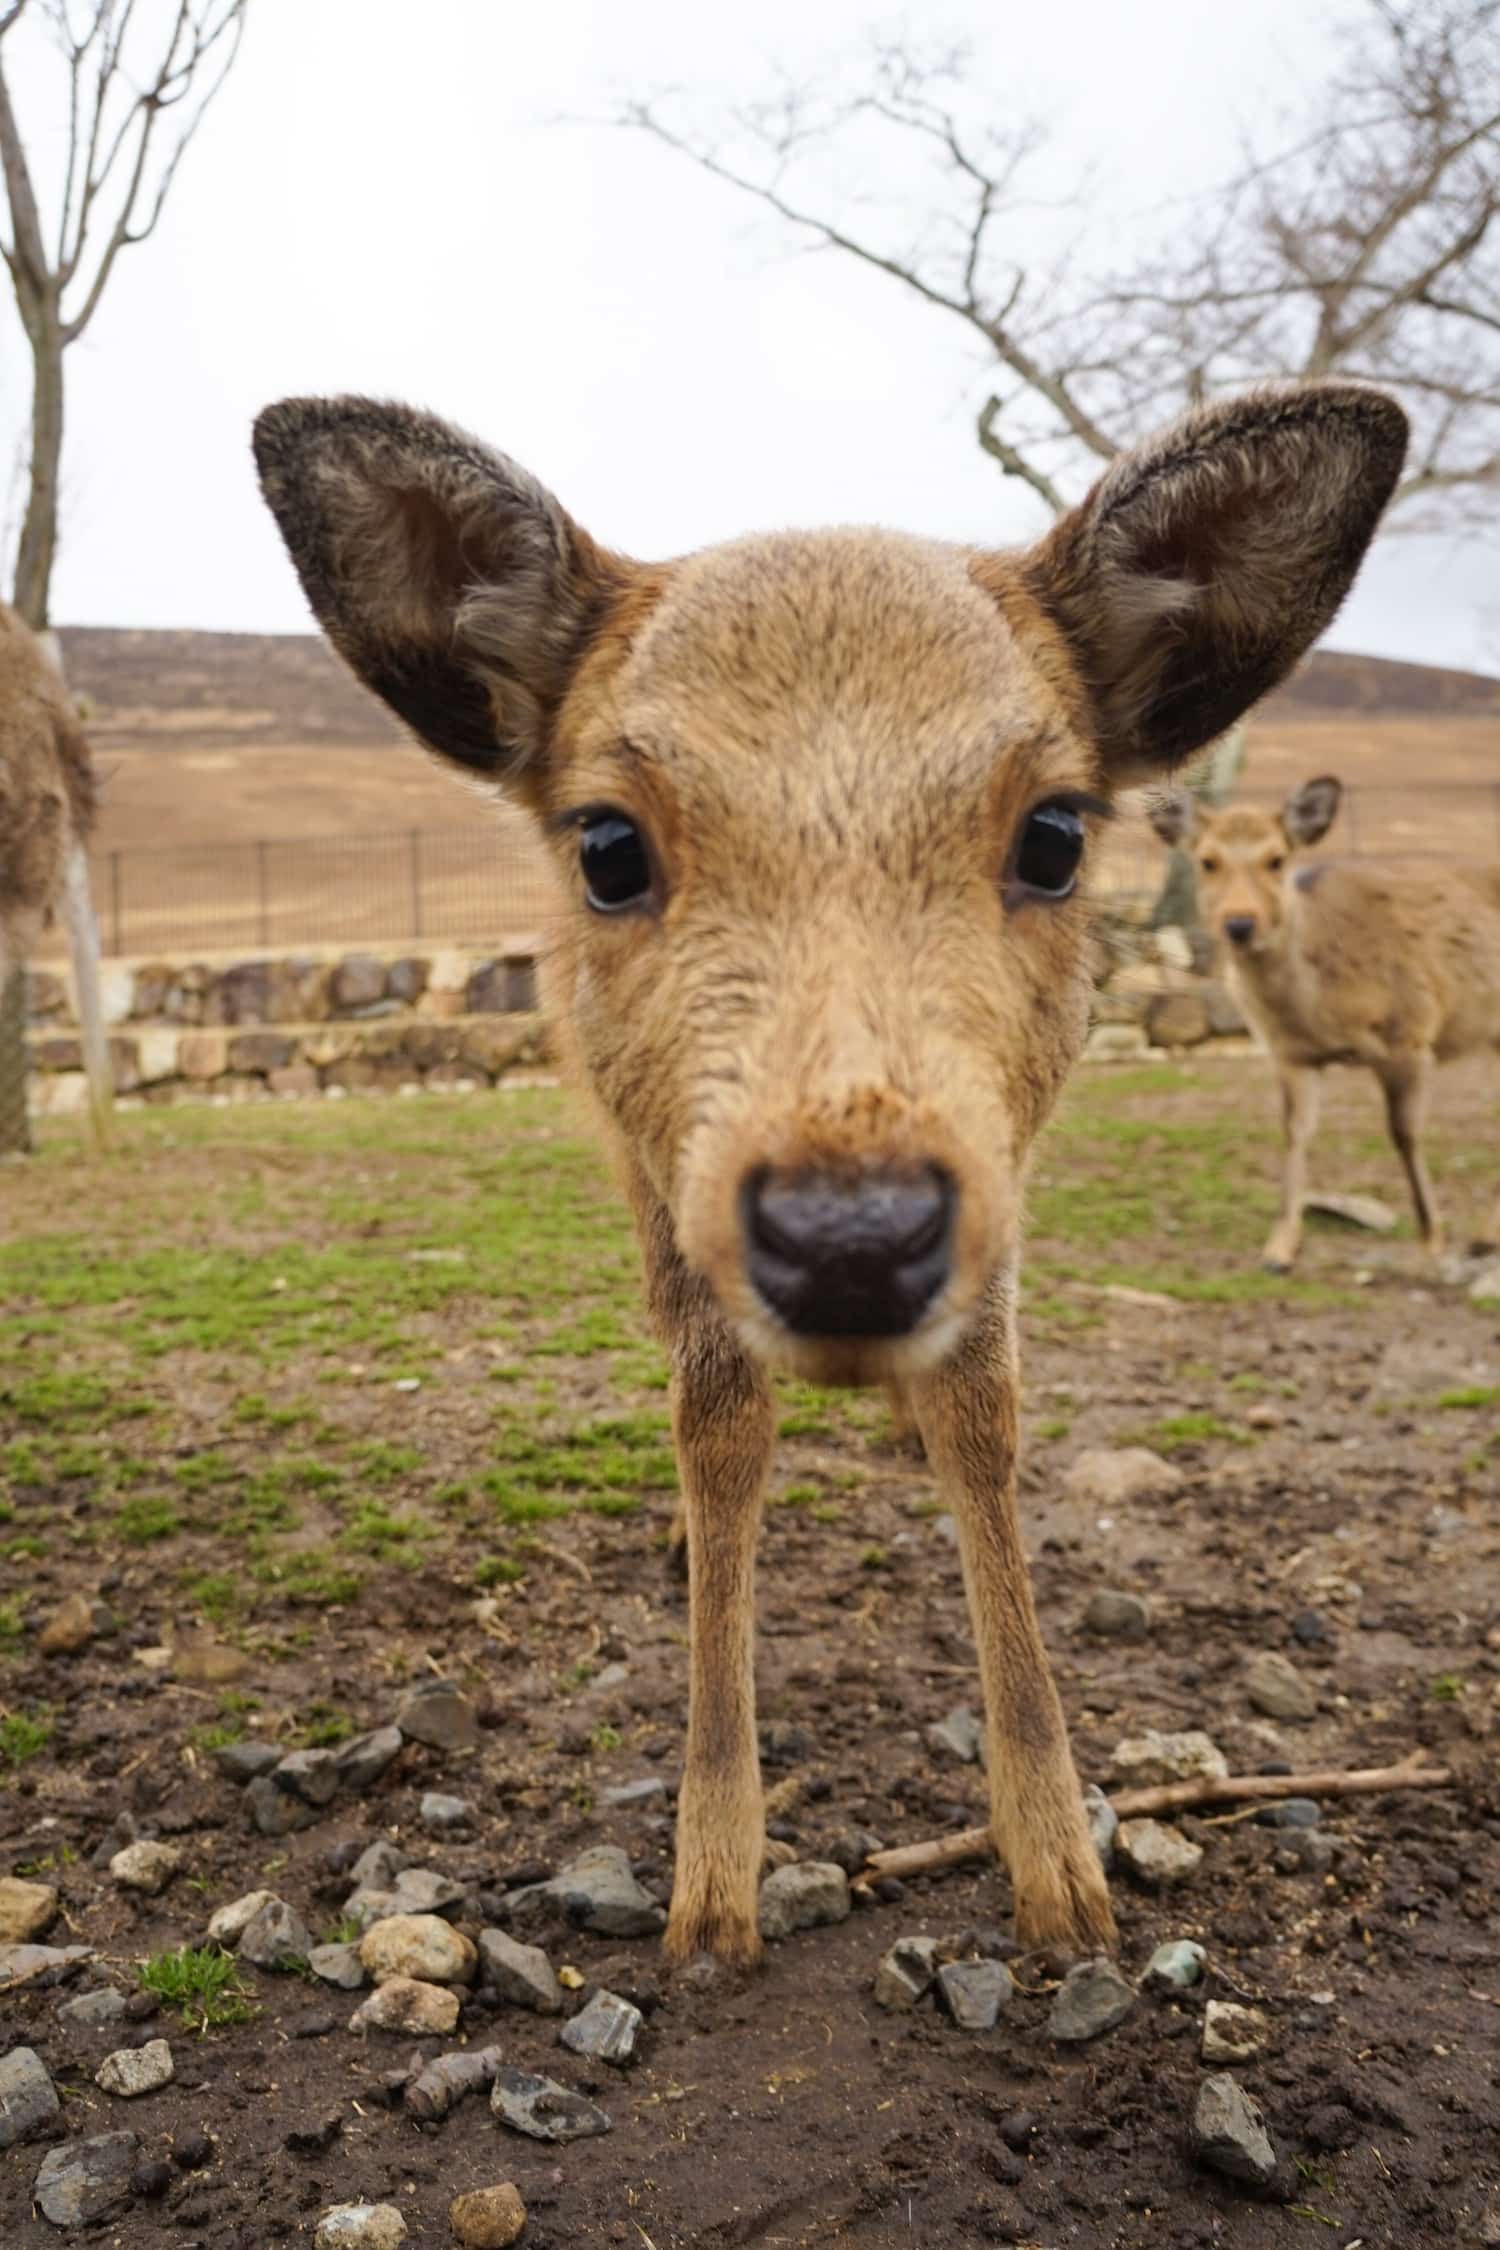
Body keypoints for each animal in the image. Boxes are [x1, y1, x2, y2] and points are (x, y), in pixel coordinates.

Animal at [255, 380, 1406, 1966]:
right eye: (607, 843)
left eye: (1056, 830)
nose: (851, 1236)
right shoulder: (673, 1197)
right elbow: (718, 1422)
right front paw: (710, 1883)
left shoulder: (1002, 1181)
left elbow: (983, 1415)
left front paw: (1063, 1873)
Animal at [1151, 778, 1500, 1272]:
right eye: (1208, 860)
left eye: (1277, 859)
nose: (1240, 924)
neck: (1320, 1009)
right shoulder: (1290, 1054)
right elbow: (1294, 1133)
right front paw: (1279, 1249)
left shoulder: (1408, 1032)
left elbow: (1405, 1134)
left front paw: (1430, 1240)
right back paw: (1486, 1237)